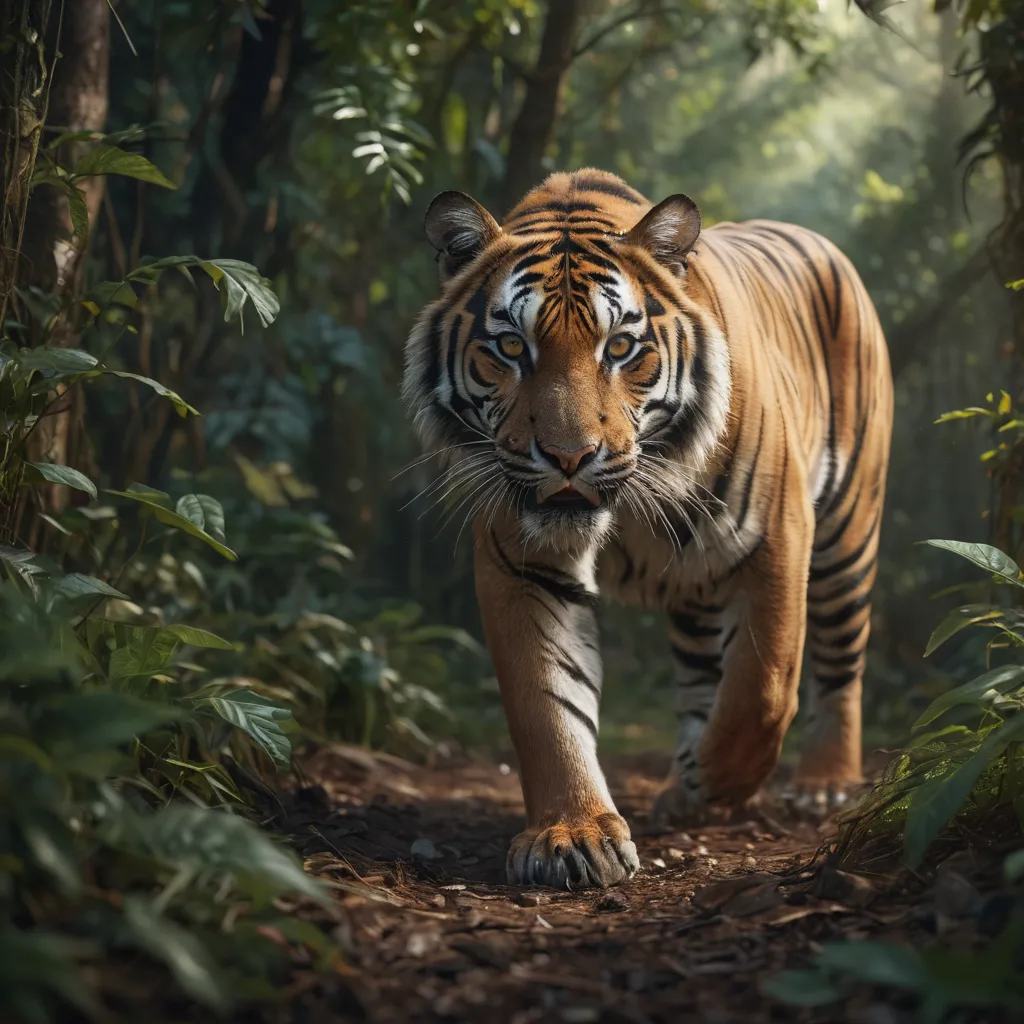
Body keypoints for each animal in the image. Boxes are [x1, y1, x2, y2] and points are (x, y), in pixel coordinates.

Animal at [402, 169, 893, 889]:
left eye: (621, 348)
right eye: (512, 347)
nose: (569, 456)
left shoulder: (778, 533)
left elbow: (765, 682)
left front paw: (722, 778)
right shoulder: (522, 562)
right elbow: (545, 703)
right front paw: (571, 834)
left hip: (846, 536)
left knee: (839, 663)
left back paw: (820, 783)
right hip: (696, 584)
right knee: (700, 675)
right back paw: (684, 790)